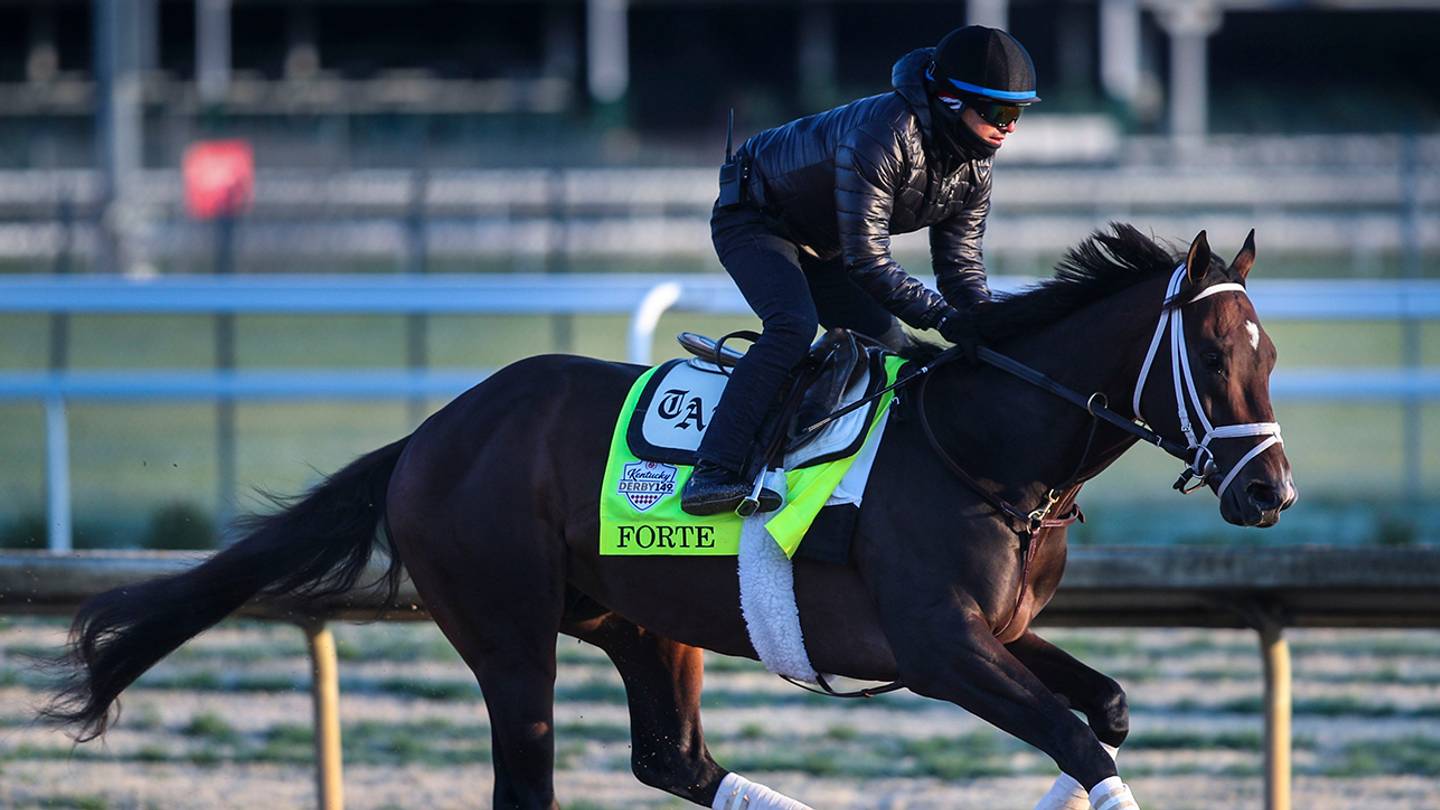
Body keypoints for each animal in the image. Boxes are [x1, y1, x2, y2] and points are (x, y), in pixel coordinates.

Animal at [44, 224, 1296, 810]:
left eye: (1272, 355)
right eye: (1213, 354)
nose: (1270, 491)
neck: (983, 448)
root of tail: (432, 436)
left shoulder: (993, 633)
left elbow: (1108, 711)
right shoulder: (940, 648)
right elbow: (1082, 740)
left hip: (643, 624)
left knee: (674, 760)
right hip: (509, 632)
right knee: (531, 781)